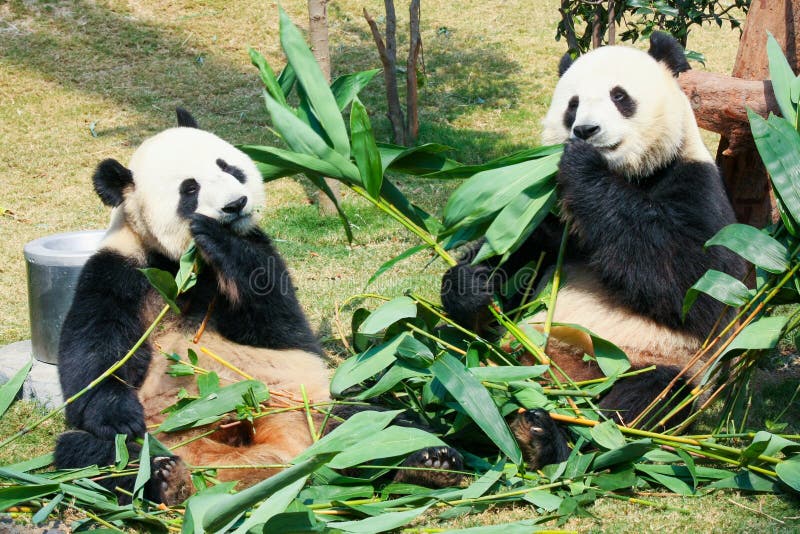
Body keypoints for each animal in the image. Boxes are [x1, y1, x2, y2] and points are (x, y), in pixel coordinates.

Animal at [54, 109, 462, 505]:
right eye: (190, 188)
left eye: (228, 167)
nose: (236, 205)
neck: (181, 264)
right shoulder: (119, 270)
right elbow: (94, 353)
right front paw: (119, 416)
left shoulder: (259, 251)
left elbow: (278, 323)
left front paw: (218, 238)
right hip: (157, 439)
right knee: (96, 456)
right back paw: (166, 478)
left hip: (311, 409)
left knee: (382, 424)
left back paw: (429, 462)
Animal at [441, 32, 745, 434]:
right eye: (573, 105)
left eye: (620, 96)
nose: (585, 131)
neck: (629, 174)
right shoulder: (549, 213)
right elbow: (516, 261)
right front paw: (470, 285)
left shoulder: (697, 186)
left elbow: (701, 284)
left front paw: (582, 165)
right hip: (495, 353)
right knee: (444, 350)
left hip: (645, 364)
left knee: (647, 399)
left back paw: (556, 432)